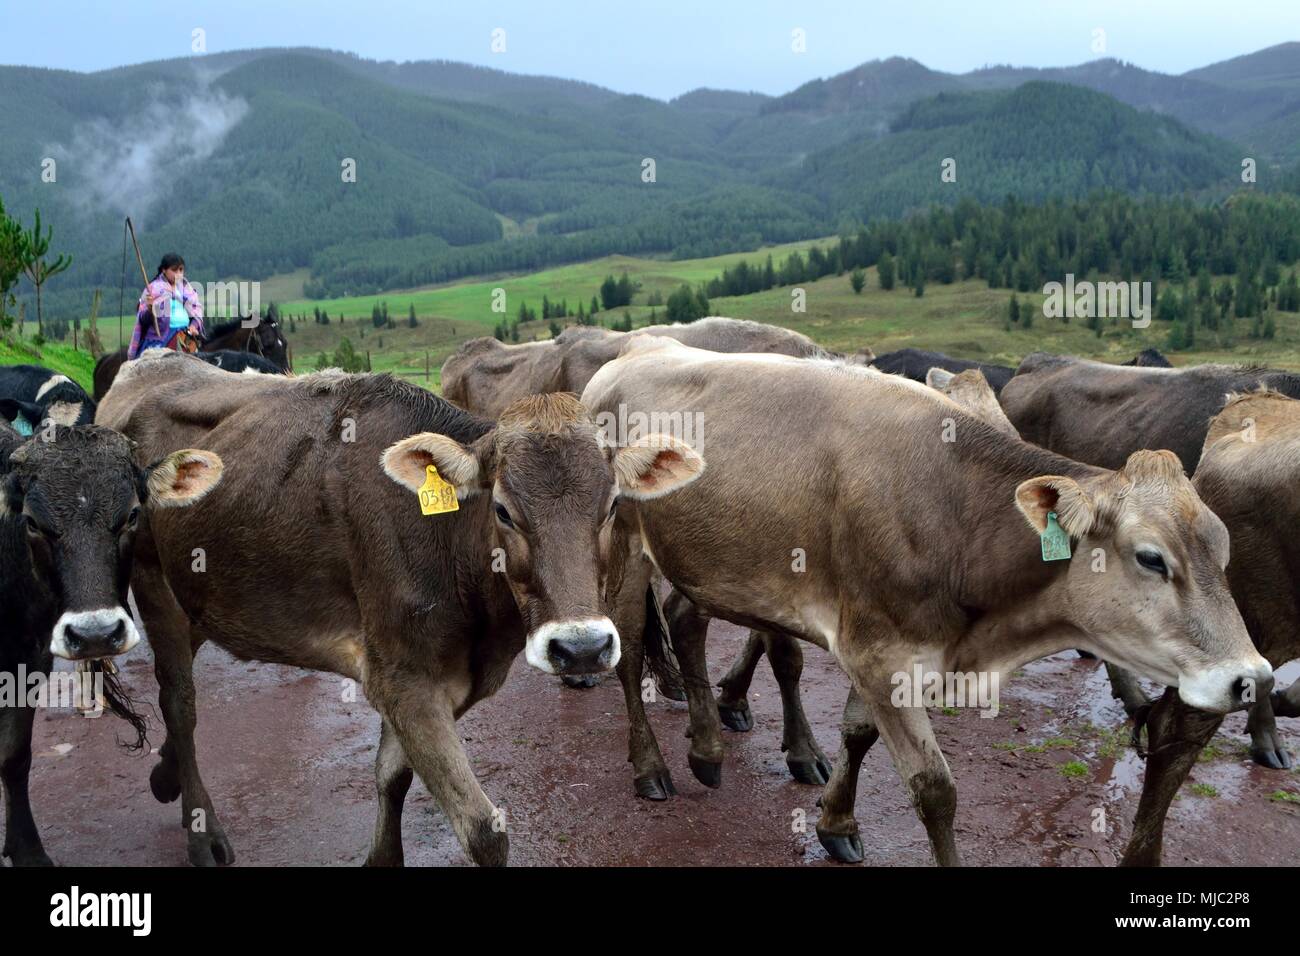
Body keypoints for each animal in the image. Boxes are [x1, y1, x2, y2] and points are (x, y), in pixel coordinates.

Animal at [0, 419, 223, 865]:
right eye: (31, 521)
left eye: (133, 514)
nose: (96, 634)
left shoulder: (29, 657)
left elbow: (15, 756)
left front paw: (27, 850)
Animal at [96, 350, 701, 866]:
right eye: (504, 510)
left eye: (613, 505)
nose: (581, 648)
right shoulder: (403, 678)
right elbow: (484, 831)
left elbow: (392, 776)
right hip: (154, 584)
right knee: (180, 702)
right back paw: (202, 832)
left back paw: (166, 775)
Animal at [583, 338, 1271, 866]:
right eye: (1152, 558)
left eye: (1224, 550)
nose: (1252, 678)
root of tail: (631, 353)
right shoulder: (876, 651)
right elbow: (935, 790)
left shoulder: (877, 649)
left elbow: (858, 732)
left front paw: (835, 822)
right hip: (621, 549)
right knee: (628, 651)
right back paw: (651, 768)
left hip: (708, 565)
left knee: (684, 625)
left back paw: (706, 749)